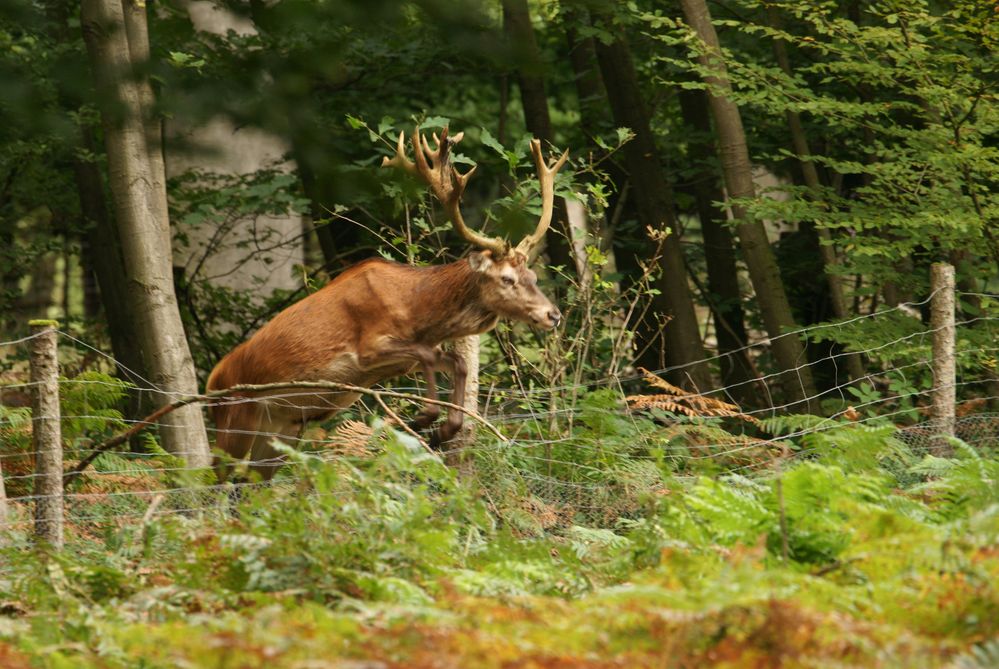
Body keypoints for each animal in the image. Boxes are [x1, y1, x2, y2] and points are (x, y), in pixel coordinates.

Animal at [206, 126, 568, 479]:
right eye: (507, 278)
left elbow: (457, 362)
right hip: (234, 417)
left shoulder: (405, 359)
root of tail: (211, 384)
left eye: (532, 276)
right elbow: (429, 357)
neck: (416, 311)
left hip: (280, 430)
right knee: (215, 478)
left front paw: (441, 430)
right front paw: (421, 419)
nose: (553, 315)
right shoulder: (368, 347)